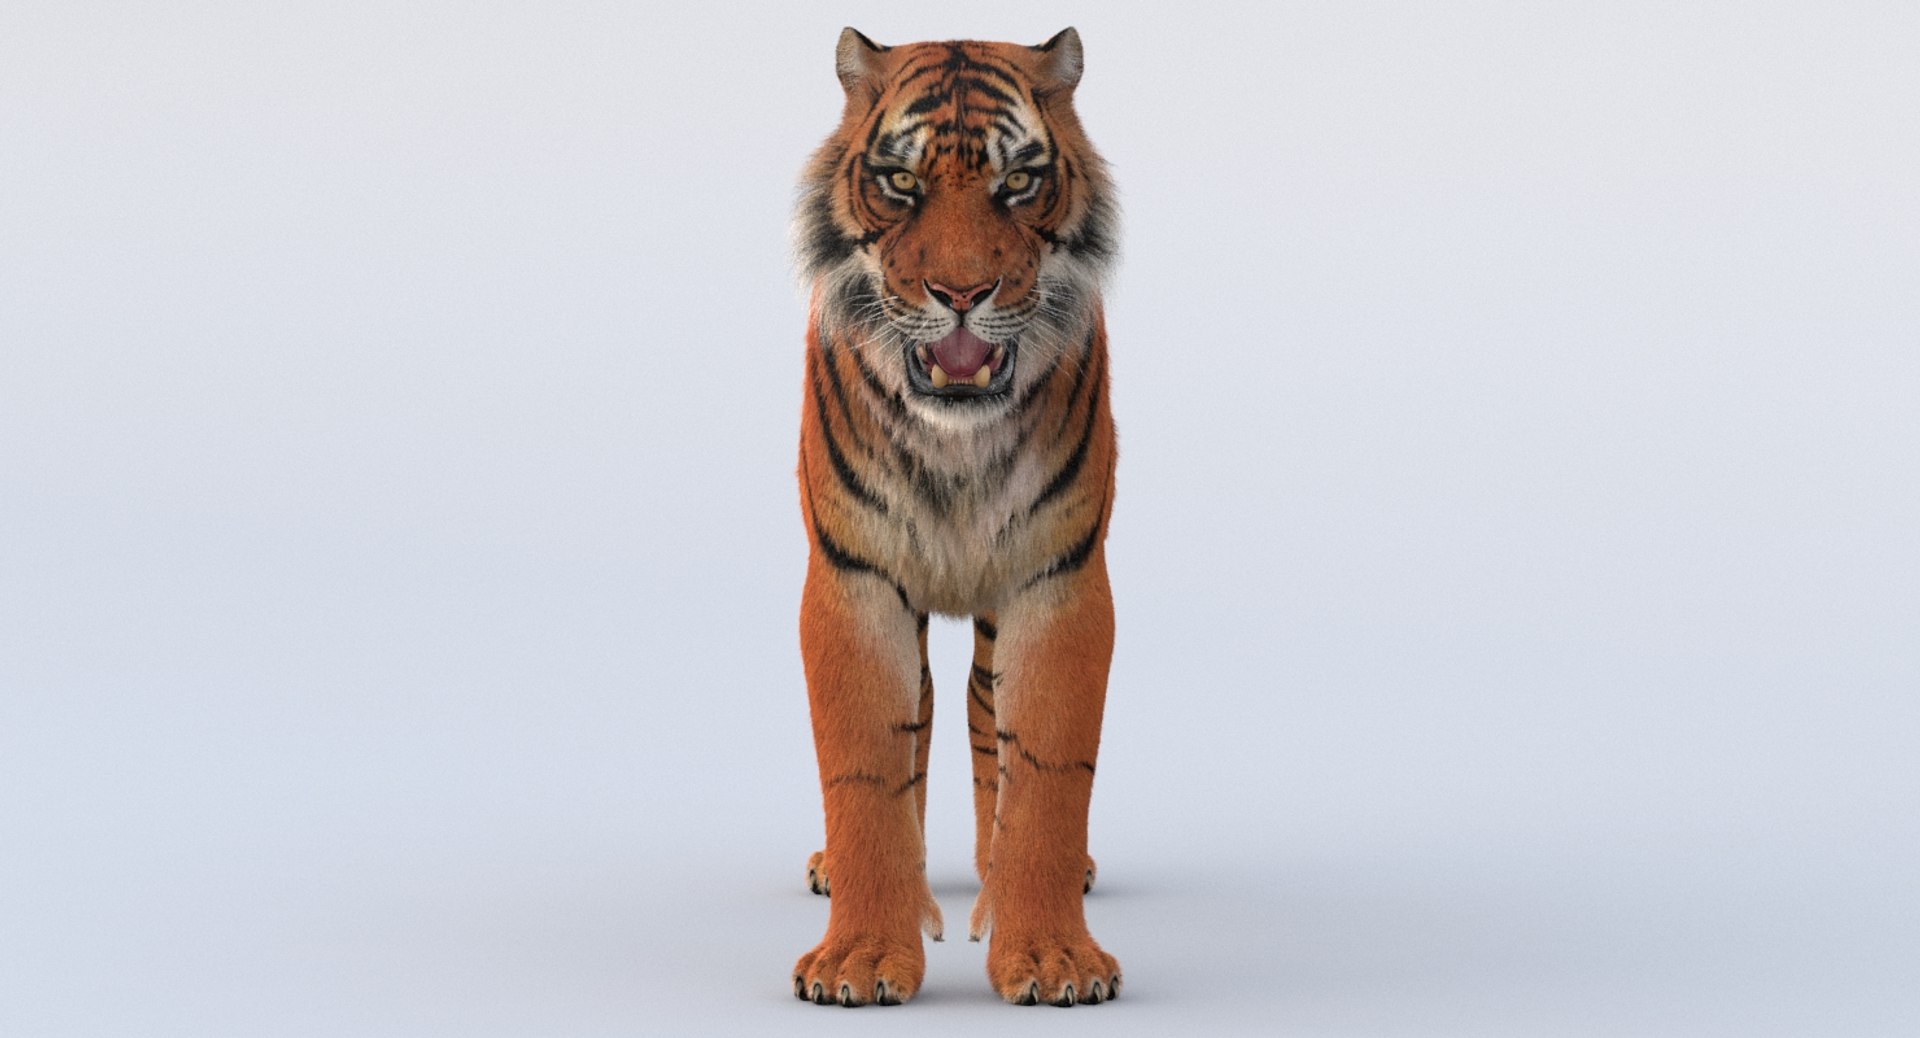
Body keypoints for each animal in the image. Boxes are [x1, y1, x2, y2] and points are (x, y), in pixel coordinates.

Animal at [789, 27, 1122, 1008]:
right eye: (901, 181)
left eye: (1019, 181)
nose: (962, 293)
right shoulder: (854, 581)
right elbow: (866, 768)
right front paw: (860, 959)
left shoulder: (1058, 581)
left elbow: (1044, 773)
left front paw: (1051, 958)